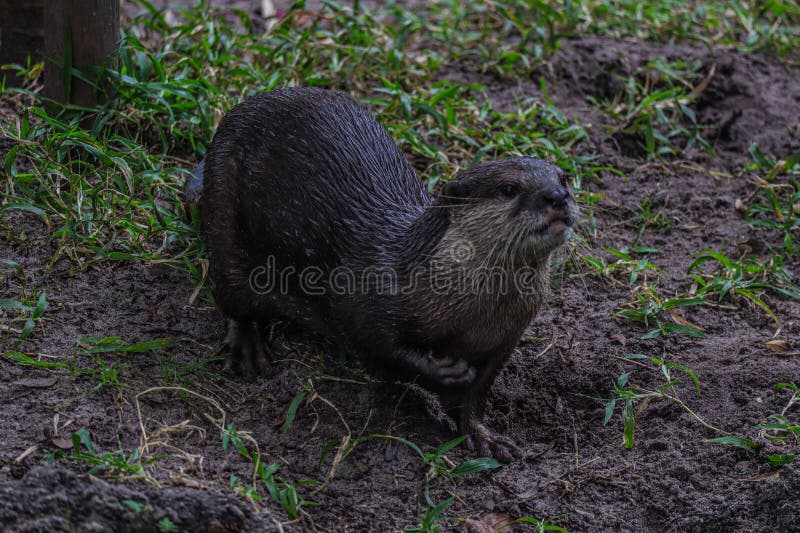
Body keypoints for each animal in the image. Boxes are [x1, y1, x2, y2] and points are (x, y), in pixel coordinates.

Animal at [197, 87, 577, 461]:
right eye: (509, 189)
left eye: (564, 179)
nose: (557, 196)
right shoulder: (367, 299)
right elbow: (381, 349)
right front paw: (443, 371)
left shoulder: (503, 342)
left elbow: (474, 396)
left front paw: (484, 435)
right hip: (225, 222)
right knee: (233, 297)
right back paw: (248, 348)